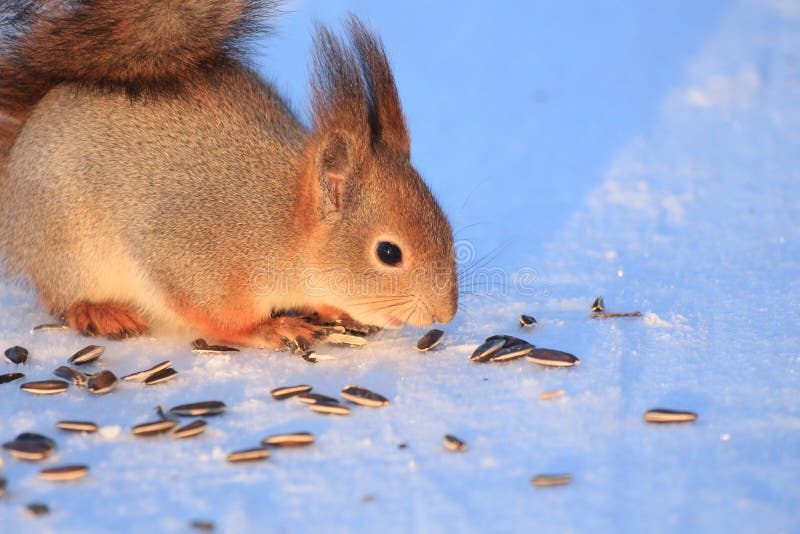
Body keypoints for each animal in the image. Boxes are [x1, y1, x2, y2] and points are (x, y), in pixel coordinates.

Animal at [0, 0, 457, 349]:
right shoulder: (195, 258)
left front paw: (333, 312)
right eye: (388, 253)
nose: (446, 312)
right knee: (62, 299)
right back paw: (98, 311)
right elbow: (214, 316)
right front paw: (270, 328)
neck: (284, 229)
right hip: (66, 248)